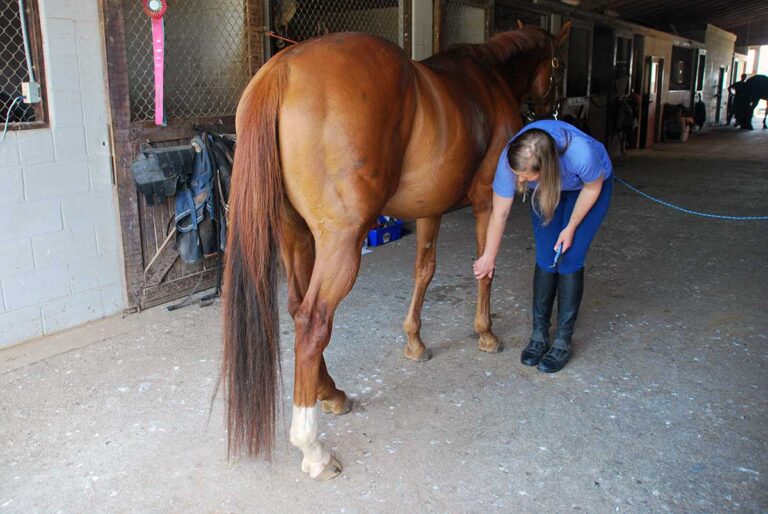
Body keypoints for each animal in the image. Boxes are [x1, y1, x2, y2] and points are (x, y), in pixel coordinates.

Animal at [221, 22, 571, 480]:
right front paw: (485, 332)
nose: (556, 109)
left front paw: (415, 341)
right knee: (313, 322)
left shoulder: (430, 209)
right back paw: (313, 449)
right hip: (340, 244)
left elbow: (425, 269)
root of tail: (281, 69)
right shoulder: (488, 201)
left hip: (294, 236)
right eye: (558, 64)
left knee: (298, 309)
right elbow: (484, 266)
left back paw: (330, 393)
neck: (488, 77)